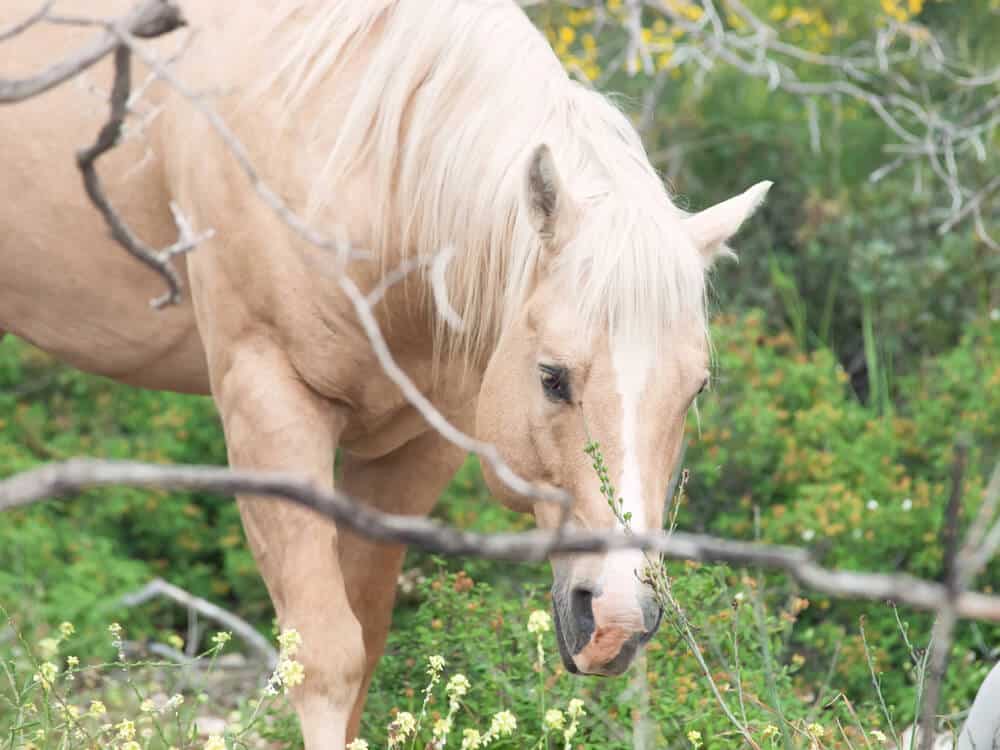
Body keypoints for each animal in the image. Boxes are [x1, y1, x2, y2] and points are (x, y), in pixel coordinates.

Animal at [0, 0, 770, 745]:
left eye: (695, 390)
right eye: (553, 377)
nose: (617, 619)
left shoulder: (416, 446)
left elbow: (366, 642)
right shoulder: (271, 407)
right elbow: (325, 658)